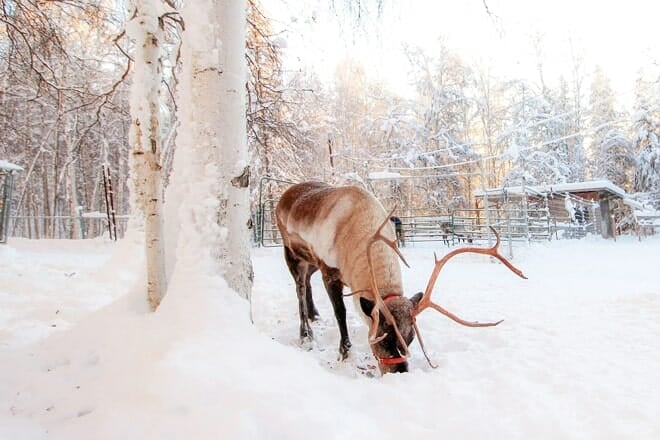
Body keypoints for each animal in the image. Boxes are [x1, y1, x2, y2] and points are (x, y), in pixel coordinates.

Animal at [275, 181, 526, 374]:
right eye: (384, 338)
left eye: (411, 338)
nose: (400, 371)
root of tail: (284, 195)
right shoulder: (329, 270)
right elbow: (341, 314)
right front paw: (344, 353)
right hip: (293, 253)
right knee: (299, 287)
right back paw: (306, 334)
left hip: (310, 262)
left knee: (307, 282)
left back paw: (315, 314)